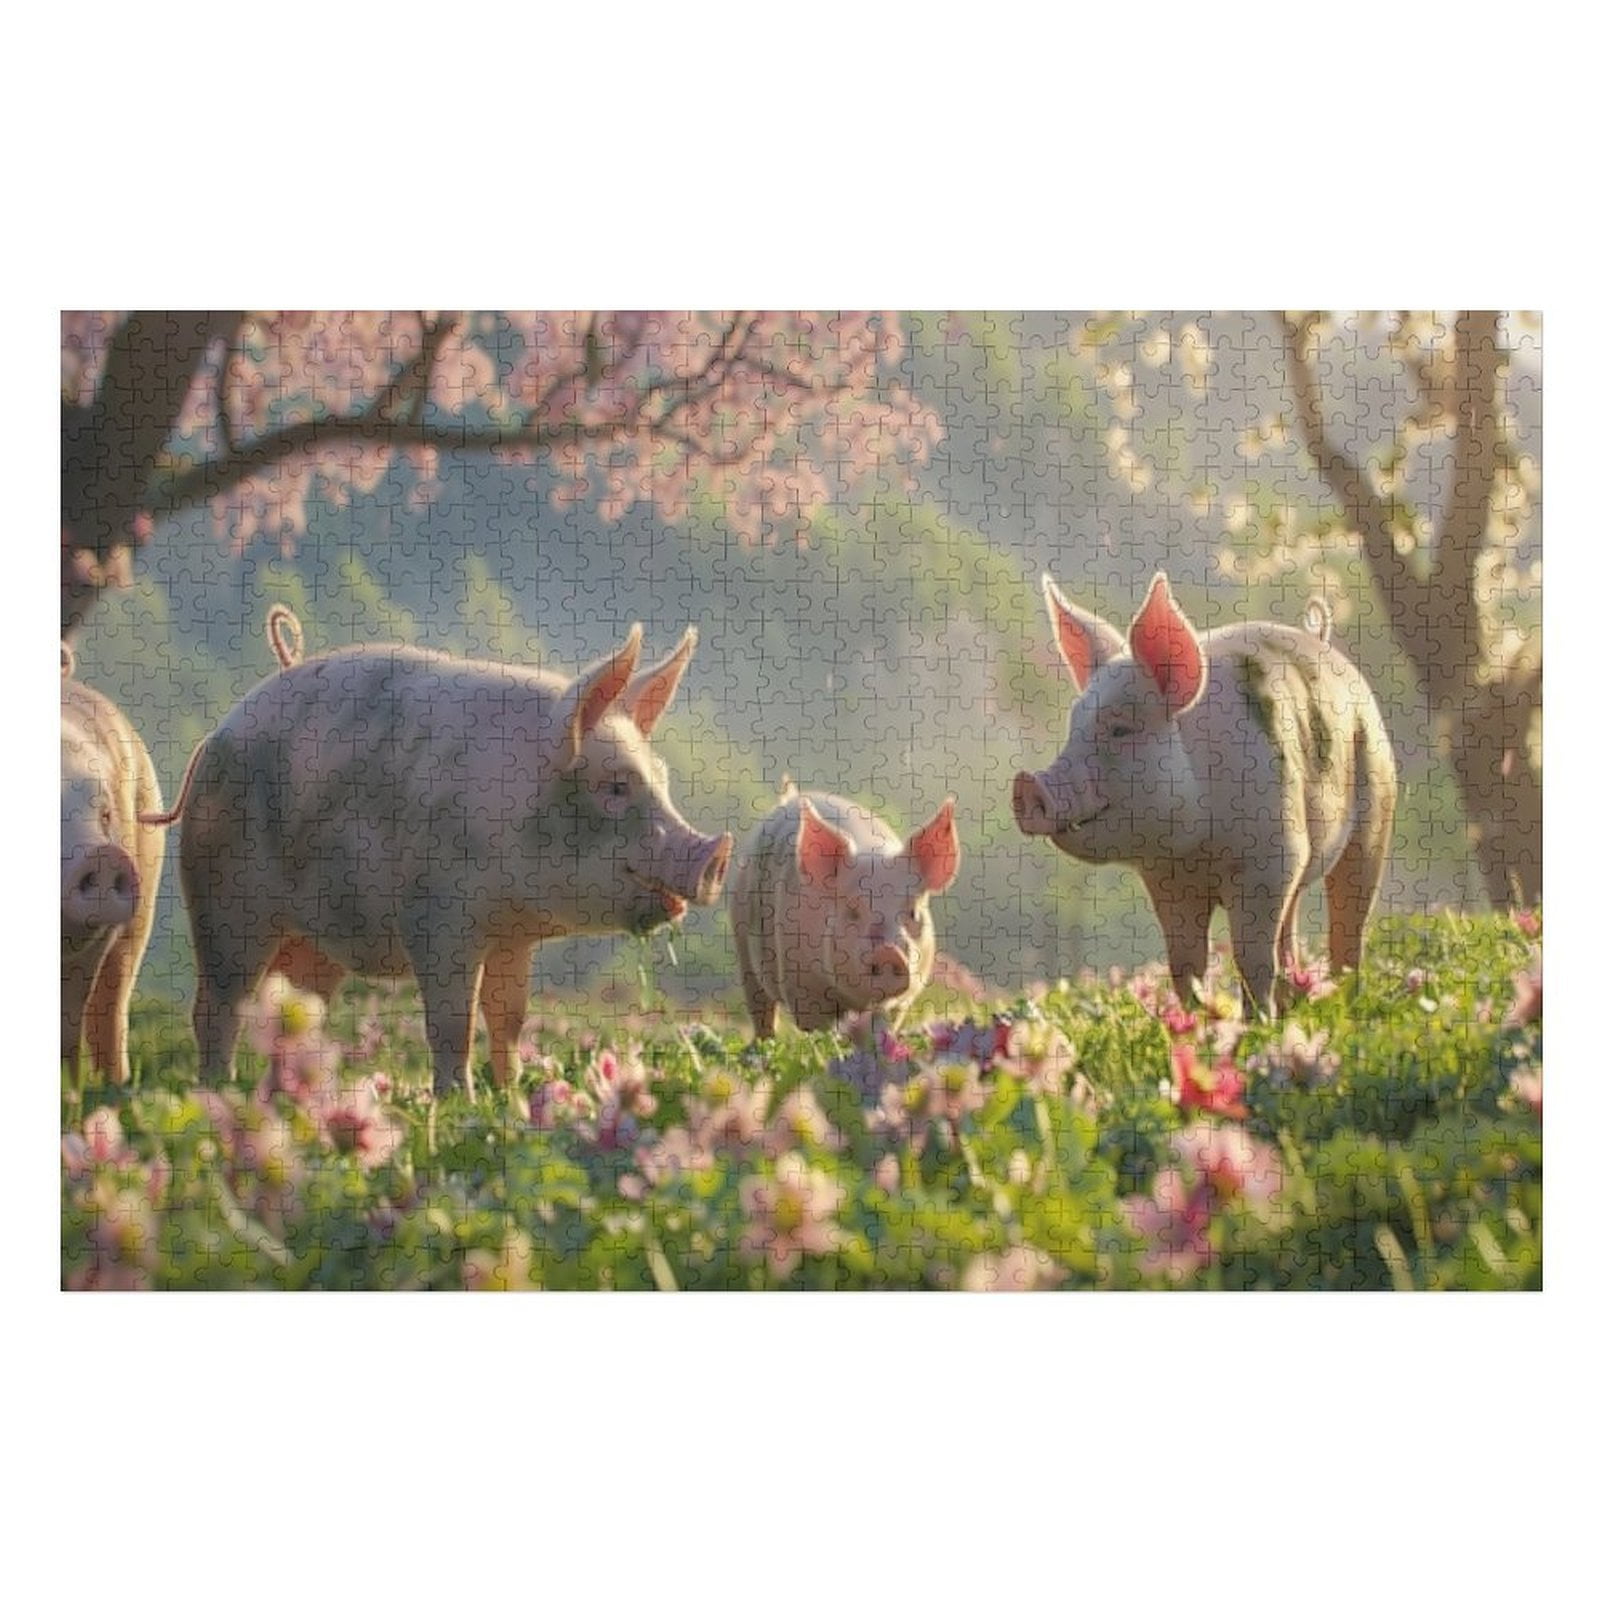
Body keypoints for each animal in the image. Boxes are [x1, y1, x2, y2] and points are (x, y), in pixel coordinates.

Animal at [152, 617, 732, 1096]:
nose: (714, 855)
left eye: (662, 780)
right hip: (222, 897)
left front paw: (511, 1099)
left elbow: (509, 1019)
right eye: (614, 787)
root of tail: (217, 735)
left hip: (308, 943)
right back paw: (219, 1091)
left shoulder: (512, 936)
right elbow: (454, 1023)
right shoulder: (439, 919)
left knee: (293, 1017)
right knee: (217, 1005)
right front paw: (461, 1103)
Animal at [730, 785, 960, 1037]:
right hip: (742, 942)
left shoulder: (901, 1003)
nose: (888, 952)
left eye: (913, 912)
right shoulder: (801, 985)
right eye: (852, 911)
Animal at [1012, 572, 1396, 1015]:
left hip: (1377, 802)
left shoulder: (1271, 858)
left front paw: (1256, 1026)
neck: (1196, 847)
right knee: (1292, 928)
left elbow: (1251, 960)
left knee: (1349, 922)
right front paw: (1196, 1024)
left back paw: (1343, 1005)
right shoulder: (1167, 880)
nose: (1027, 784)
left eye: (1121, 729)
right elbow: (1185, 966)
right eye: (1072, 729)